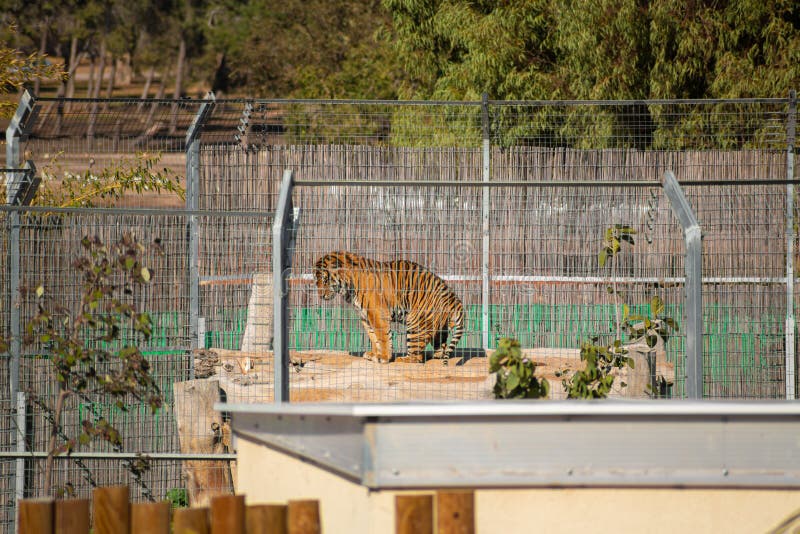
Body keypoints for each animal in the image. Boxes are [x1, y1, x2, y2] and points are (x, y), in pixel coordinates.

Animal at [314, 251, 464, 364]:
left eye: (325, 281)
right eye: (317, 281)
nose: (320, 296)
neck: (348, 288)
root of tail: (453, 297)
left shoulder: (377, 314)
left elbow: (383, 337)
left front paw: (384, 357)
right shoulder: (365, 317)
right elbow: (373, 337)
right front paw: (374, 354)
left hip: (416, 324)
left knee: (417, 357)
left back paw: (402, 359)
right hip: (437, 326)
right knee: (440, 345)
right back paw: (435, 355)